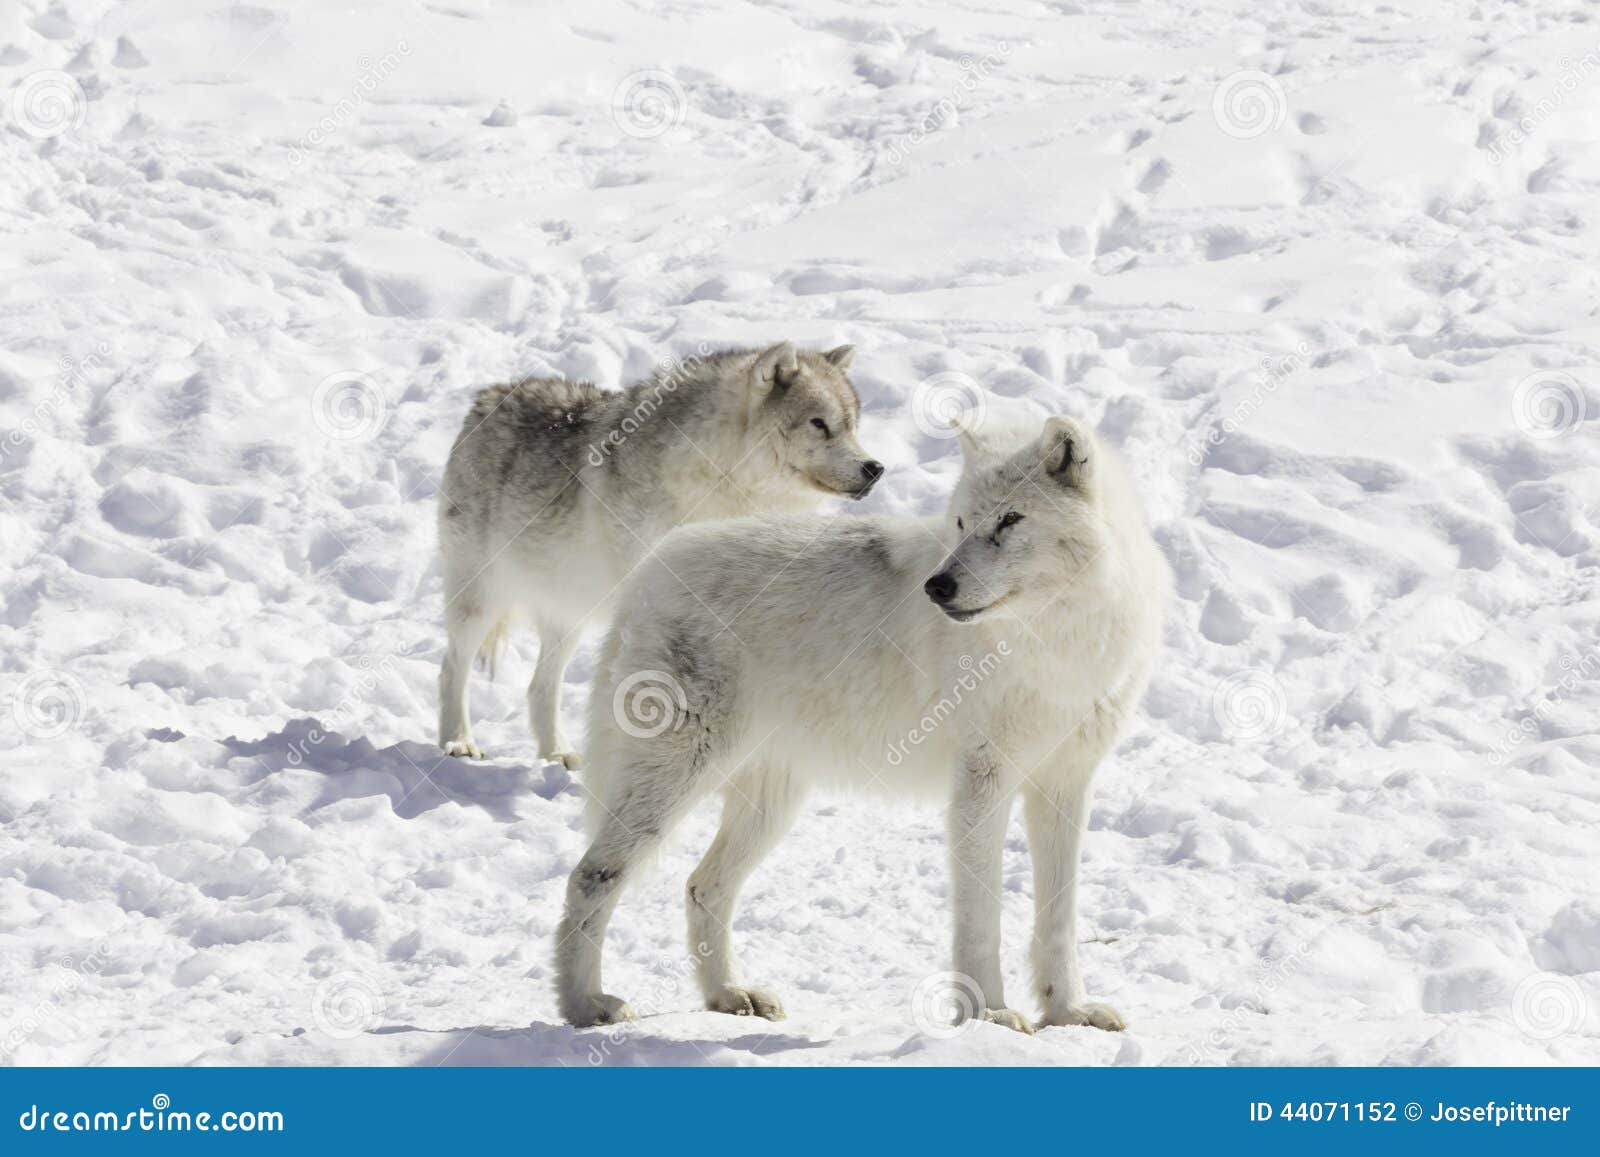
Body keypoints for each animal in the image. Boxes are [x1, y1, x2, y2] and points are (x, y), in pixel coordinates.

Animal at [437, 342, 882, 764]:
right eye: (819, 424)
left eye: (852, 426)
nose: (874, 469)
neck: (722, 482)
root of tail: (491, 395)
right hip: (481, 600)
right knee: (452, 668)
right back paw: (458, 742)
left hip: (568, 616)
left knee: (539, 687)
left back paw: (557, 754)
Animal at [554, 409, 1169, 1033]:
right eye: (962, 522)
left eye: (1011, 519)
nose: (938, 587)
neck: (1053, 646)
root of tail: (649, 572)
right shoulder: (983, 783)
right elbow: (981, 918)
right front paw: (989, 1016)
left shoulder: (1065, 783)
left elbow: (1059, 917)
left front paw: (1068, 1011)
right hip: (675, 783)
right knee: (591, 876)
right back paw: (585, 1005)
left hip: (771, 806)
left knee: (703, 885)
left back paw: (729, 994)